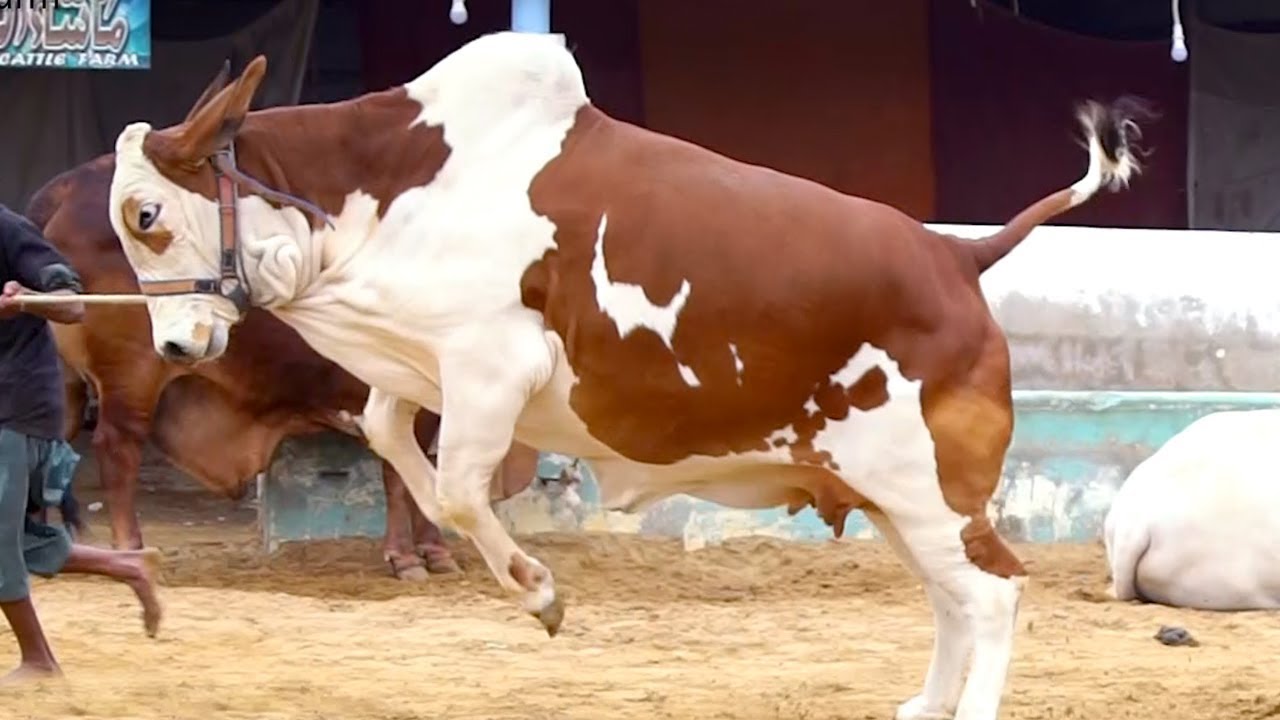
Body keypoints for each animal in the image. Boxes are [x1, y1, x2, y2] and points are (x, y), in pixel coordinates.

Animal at [23, 68, 544, 580]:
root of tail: (64, 189)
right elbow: (404, 473)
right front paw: (409, 556)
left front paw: (431, 550)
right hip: (131, 373)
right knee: (116, 449)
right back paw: (128, 548)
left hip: (68, 375)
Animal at [102, 32, 1146, 720]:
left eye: (147, 214)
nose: (176, 349)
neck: (399, 185)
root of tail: (957, 255)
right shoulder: (421, 368)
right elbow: (398, 442)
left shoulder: (492, 367)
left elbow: (459, 490)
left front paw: (540, 592)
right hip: (894, 499)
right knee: (951, 600)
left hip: (929, 495)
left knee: (992, 595)